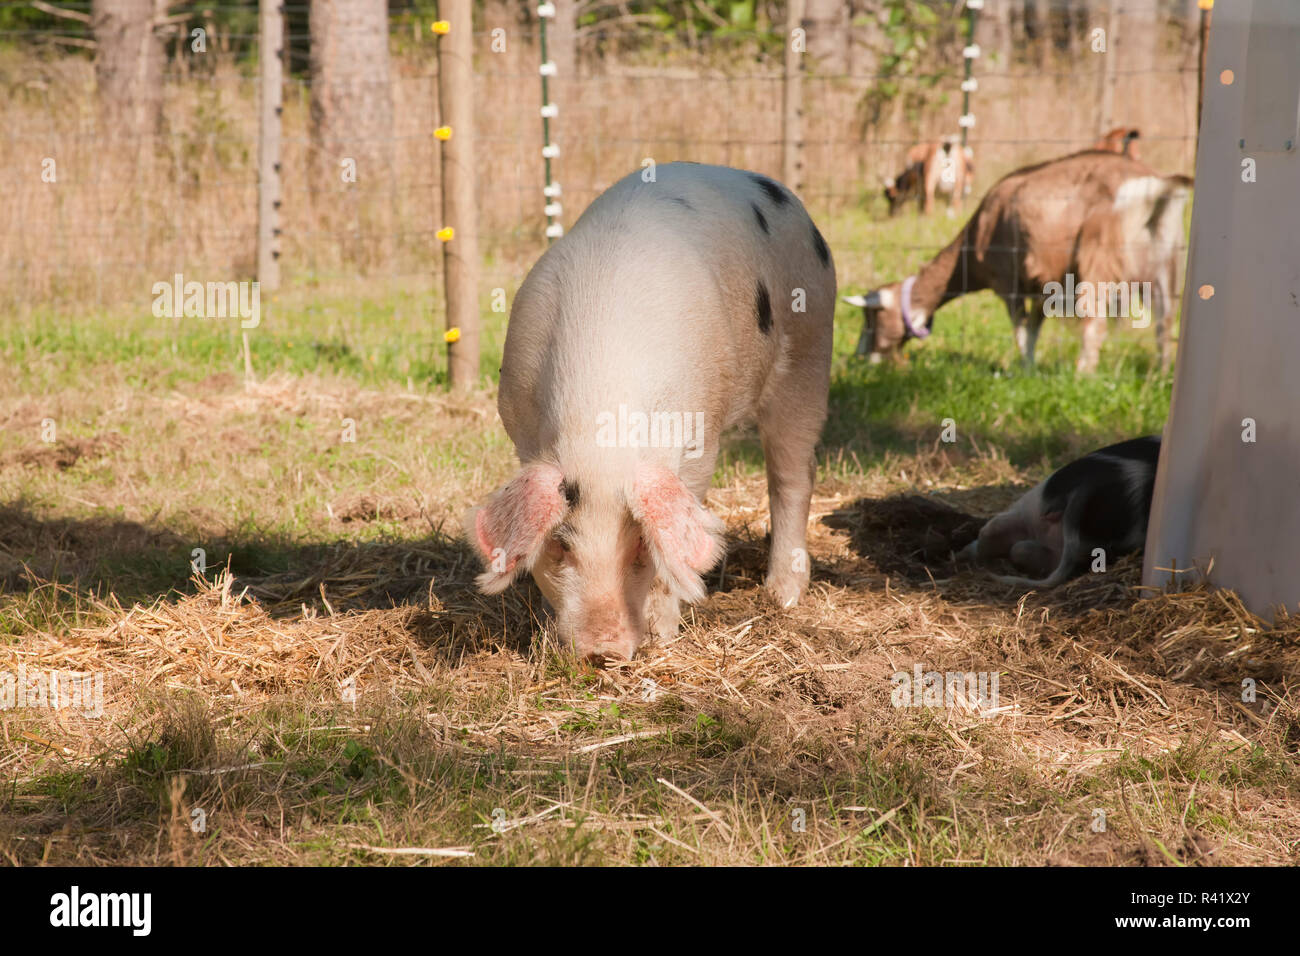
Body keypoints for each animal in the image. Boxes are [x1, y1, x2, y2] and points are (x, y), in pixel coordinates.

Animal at [468, 162, 837, 661]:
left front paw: (664, 635)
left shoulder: (701, 435)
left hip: (809, 350)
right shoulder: (520, 428)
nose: (602, 652)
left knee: (793, 474)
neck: (597, 429)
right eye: (561, 546)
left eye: (641, 547)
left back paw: (783, 595)